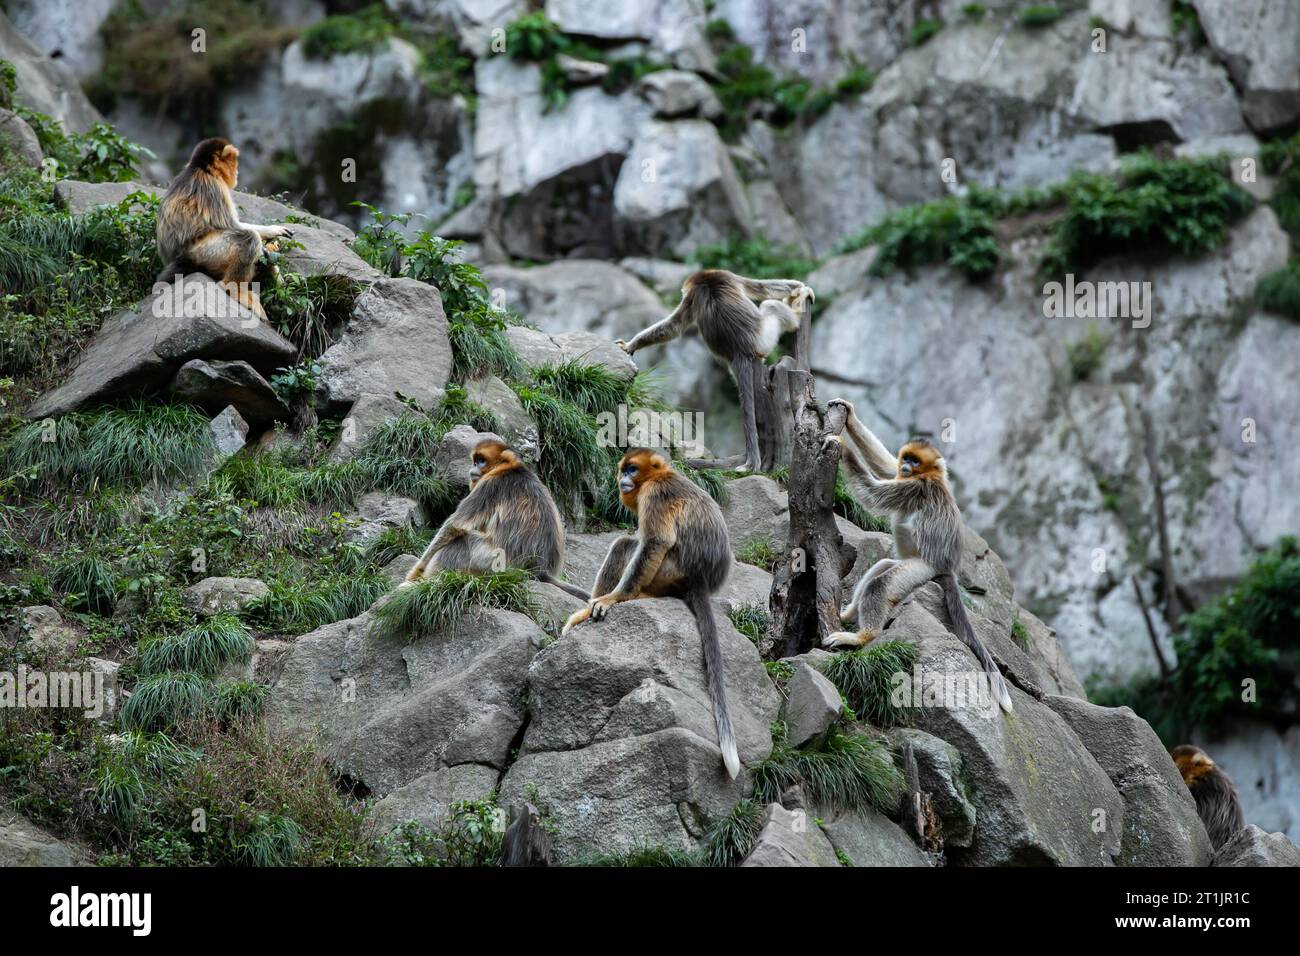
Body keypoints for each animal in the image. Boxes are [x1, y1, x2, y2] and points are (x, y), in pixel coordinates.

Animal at [155, 137, 293, 321]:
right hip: (203, 253)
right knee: (248, 238)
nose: (237, 172)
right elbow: (235, 226)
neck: (202, 169)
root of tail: (176, 259)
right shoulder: (214, 189)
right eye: (234, 162)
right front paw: (269, 235)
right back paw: (234, 289)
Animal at [401, 439, 590, 601]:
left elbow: (454, 525)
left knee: (462, 541)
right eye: (475, 461)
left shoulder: (491, 485)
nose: (472, 468)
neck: (508, 468)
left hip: (495, 562)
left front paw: (414, 575)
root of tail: (539, 570)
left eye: (481, 461)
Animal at [561, 448, 740, 778]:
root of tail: (700, 580)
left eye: (633, 470)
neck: (659, 476)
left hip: (668, 572)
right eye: (624, 470)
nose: (624, 478)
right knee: (625, 544)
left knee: (631, 545)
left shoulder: (655, 495)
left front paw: (614, 598)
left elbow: (657, 541)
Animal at [615, 270, 815, 473]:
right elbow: (760, 288)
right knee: (770, 304)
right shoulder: (726, 276)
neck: (706, 280)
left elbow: (674, 325)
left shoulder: (702, 288)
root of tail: (740, 350)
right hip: (764, 338)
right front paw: (801, 288)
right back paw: (795, 313)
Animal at [821, 399, 1013, 713]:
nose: (906, 466)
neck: (928, 476)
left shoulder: (916, 487)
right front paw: (848, 414)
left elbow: (873, 492)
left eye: (915, 461)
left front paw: (841, 444)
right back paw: (848, 613)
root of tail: (946, 566)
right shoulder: (907, 478)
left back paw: (862, 637)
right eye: (907, 458)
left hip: (922, 569)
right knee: (883, 566)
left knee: (882, 584)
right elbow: (885, 466)